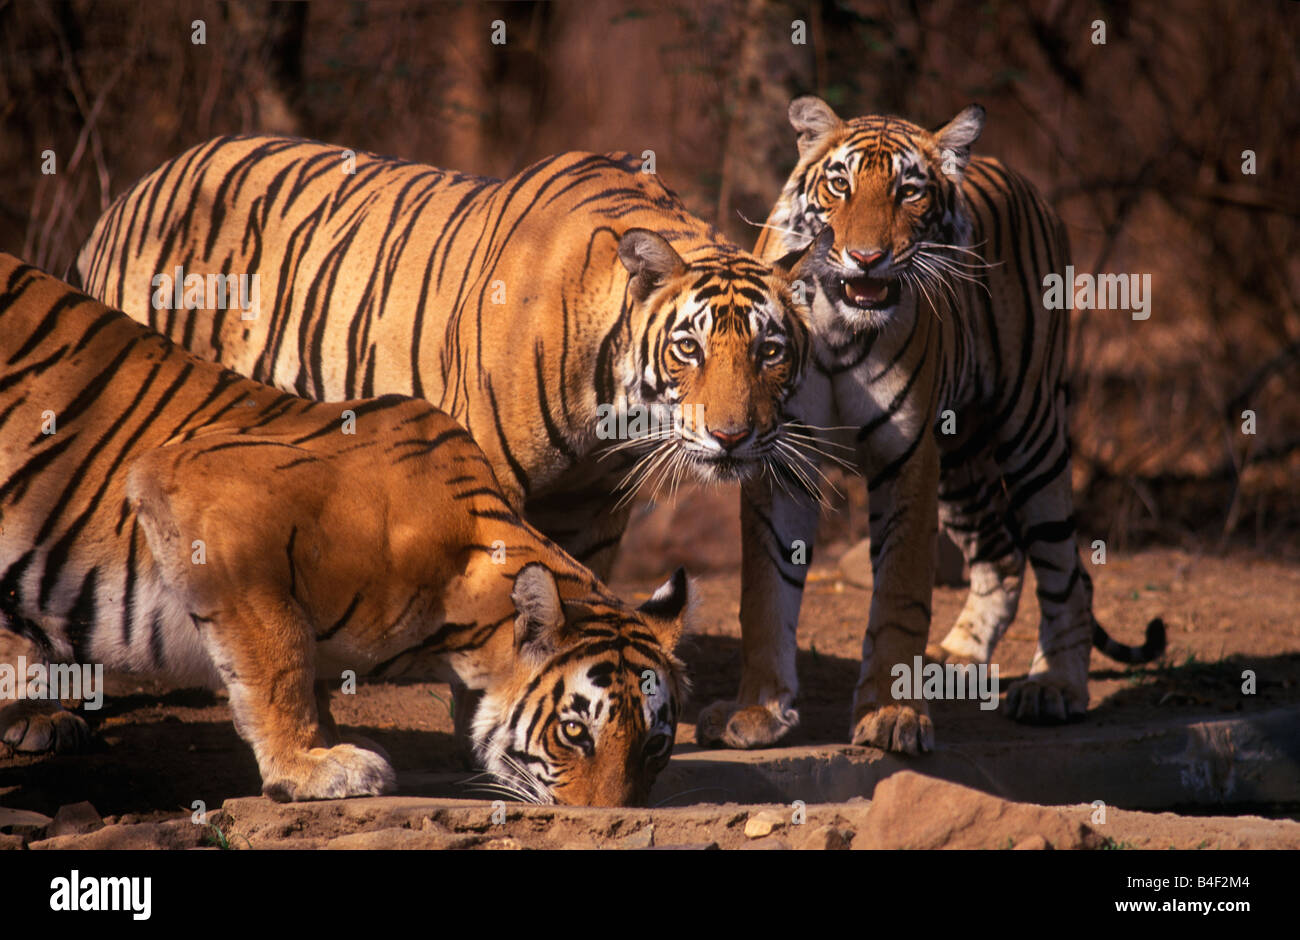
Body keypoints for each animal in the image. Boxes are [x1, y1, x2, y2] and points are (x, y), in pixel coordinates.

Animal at [0, 254, 691, 806]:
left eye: (656, 745)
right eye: (574, 732)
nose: (607, 818)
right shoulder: (205, 492)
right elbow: (278, 654)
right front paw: (309, 766)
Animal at [697, 97, 1165, 753]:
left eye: (908, 191)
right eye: (840, 185)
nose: (866, 257)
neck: (837, 326)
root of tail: (1024, 181)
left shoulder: (907, 460)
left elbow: (900, 594)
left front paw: (891, 714)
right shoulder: (780, 465)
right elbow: (765, 597)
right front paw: (757, 713)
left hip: (1032, 430)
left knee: (1065, 570)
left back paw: (1055, 688)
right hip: (961, 463)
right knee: (1002, 556)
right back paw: (958, 659)